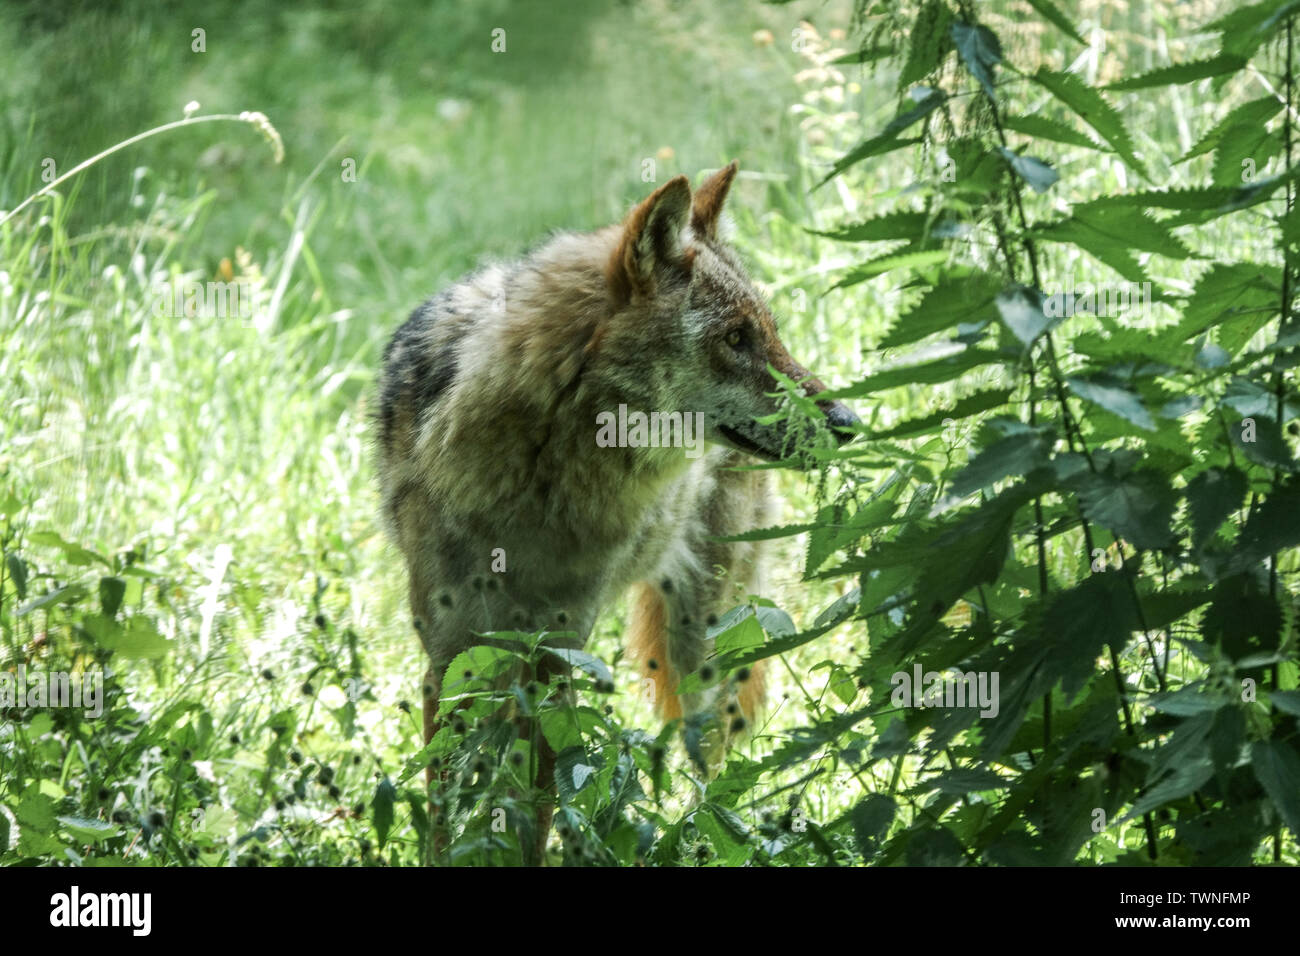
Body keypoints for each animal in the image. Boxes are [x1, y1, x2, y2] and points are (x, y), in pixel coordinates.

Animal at [375, 162, 857, 861]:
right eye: (736, 338)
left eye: (769, 332)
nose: (850, 421)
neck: (542, 467)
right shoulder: (453, 657)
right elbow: (450, 818)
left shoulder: (554, 657)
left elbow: (533, 813)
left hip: (699, 644)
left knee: (710, 760)